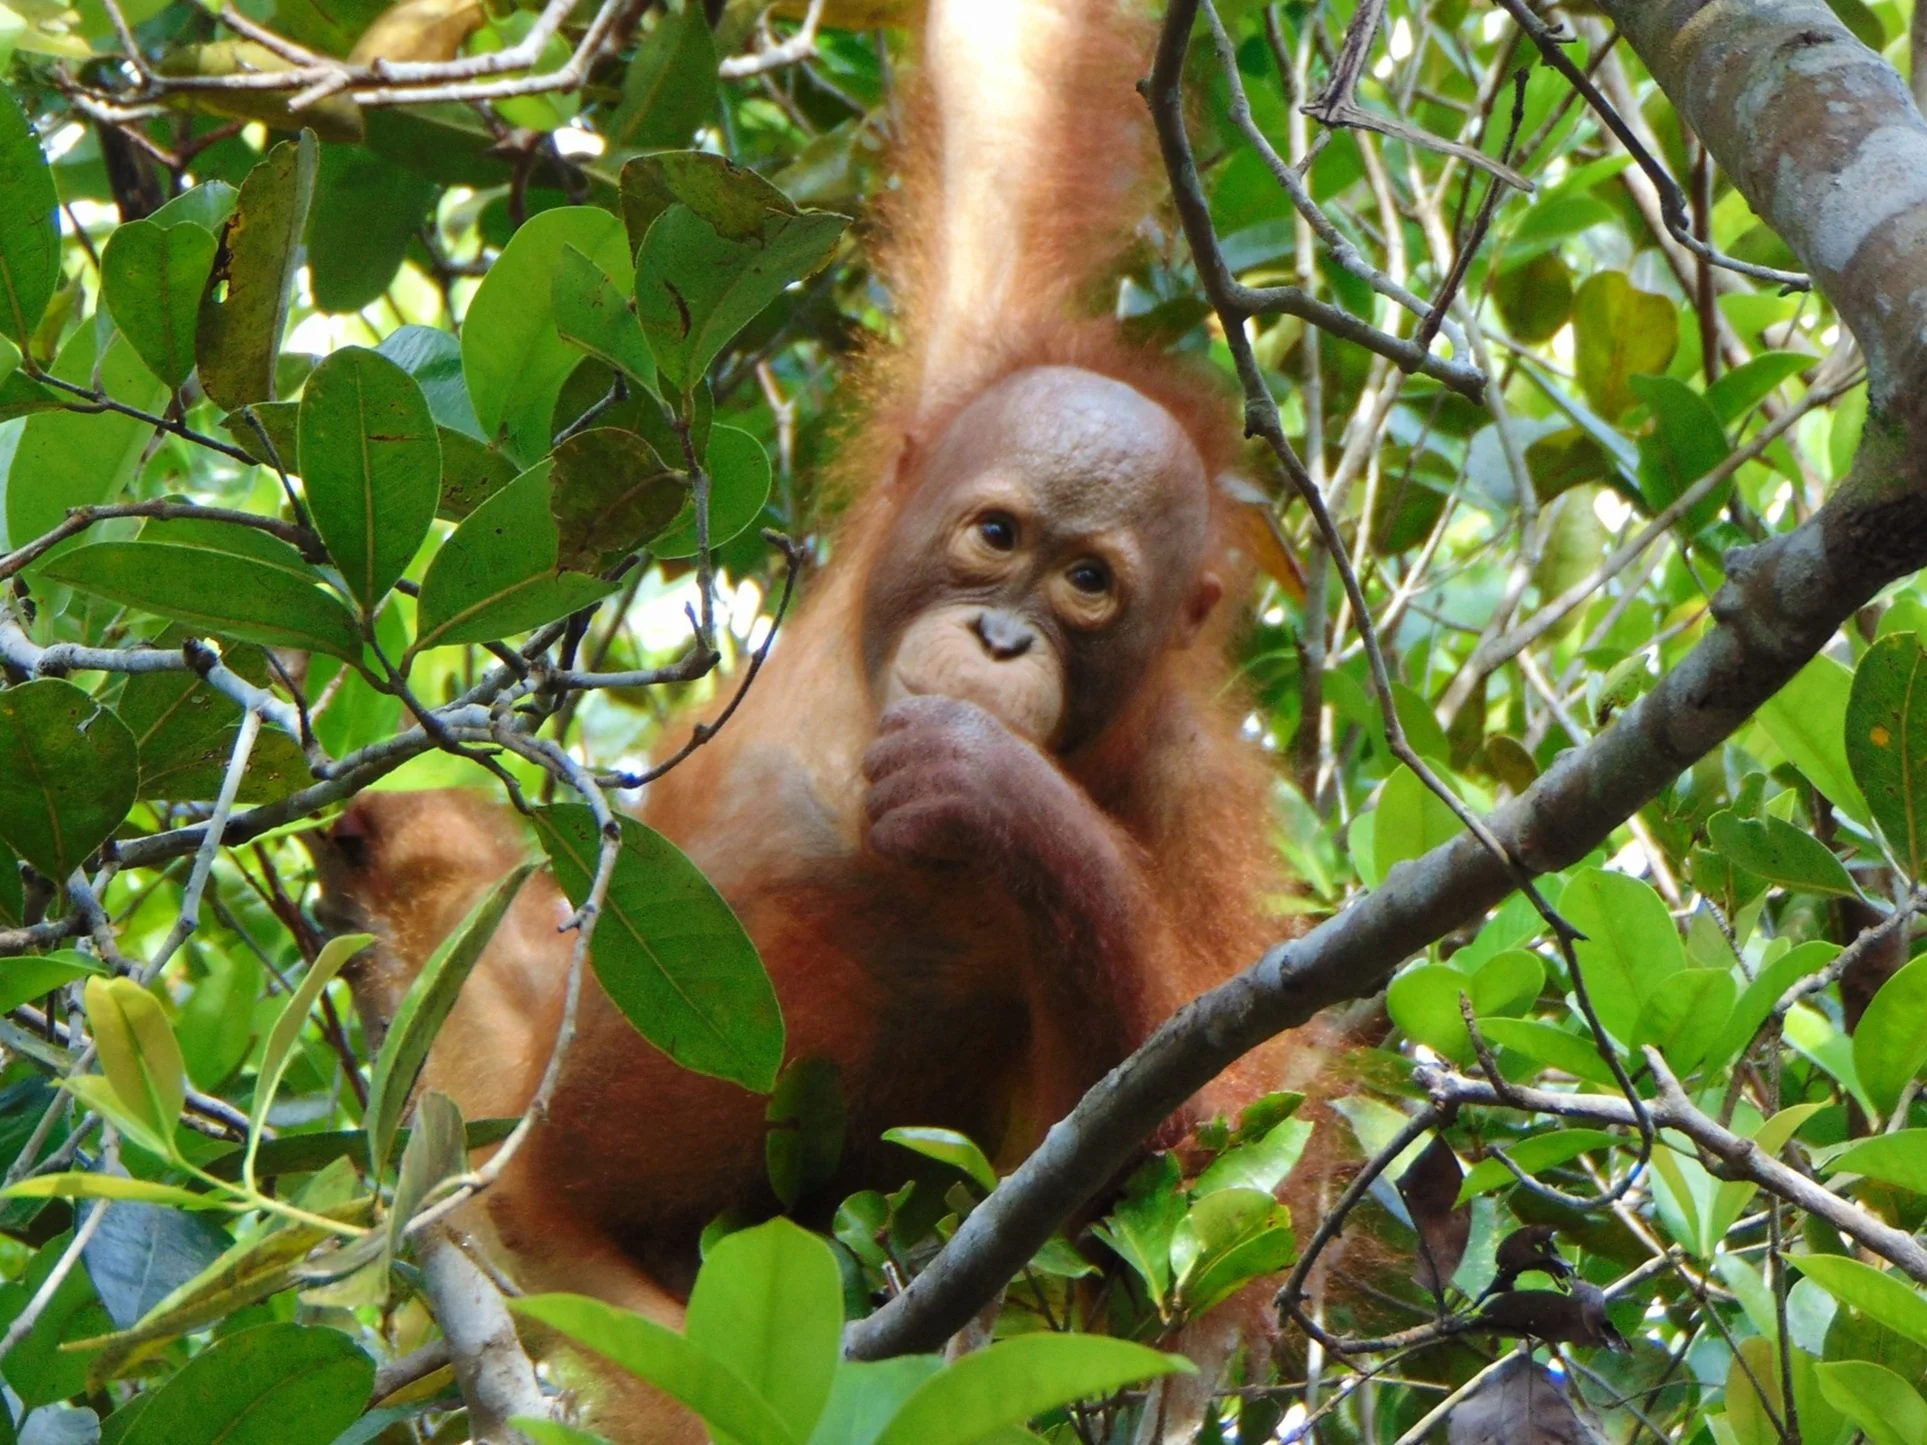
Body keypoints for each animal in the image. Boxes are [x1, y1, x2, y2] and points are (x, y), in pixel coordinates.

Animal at [313, 1, 1328, 1437]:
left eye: (1088, 583)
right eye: (998, 535)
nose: (1002, 639)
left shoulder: (1192, 794)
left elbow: (1189, 1169)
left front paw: (998, 793)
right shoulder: (957, 374)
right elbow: (999, 79)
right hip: (495, 1113)